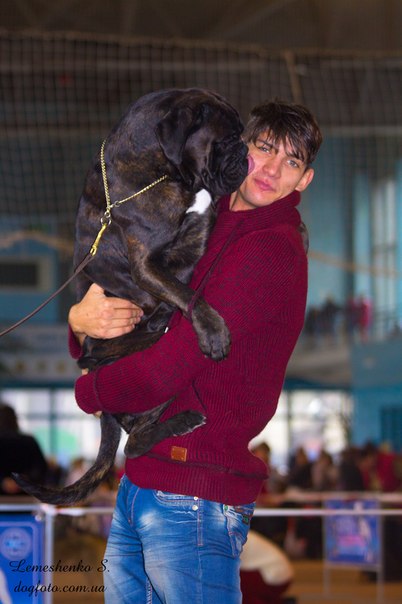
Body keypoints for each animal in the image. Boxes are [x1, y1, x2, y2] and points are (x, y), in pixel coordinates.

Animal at [14, 88, 249, 504]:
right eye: (225, 140)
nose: (247, 154)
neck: (163, 168)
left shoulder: (193, 237)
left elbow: (191, 263)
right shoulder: (146, 264)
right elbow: (187, 292)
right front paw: (213, 331)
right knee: (135, 441)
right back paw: (183, 419)